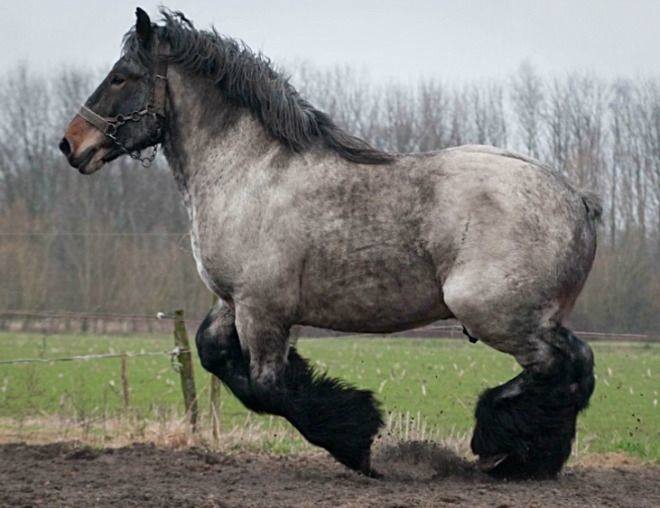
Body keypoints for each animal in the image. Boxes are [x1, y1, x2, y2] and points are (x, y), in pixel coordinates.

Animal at [60, 8, 600, 479]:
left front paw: (359, 438)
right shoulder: (232, 300)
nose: (71, 144)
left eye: (122, 77)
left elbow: (268, 388)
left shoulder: (261, 308)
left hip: (494, 313)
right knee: (575, 368)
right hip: (527, 316)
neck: (247, 172)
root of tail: (576, 198)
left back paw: (500, 448)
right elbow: (214, 354)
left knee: (561, 366)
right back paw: (528, 456)